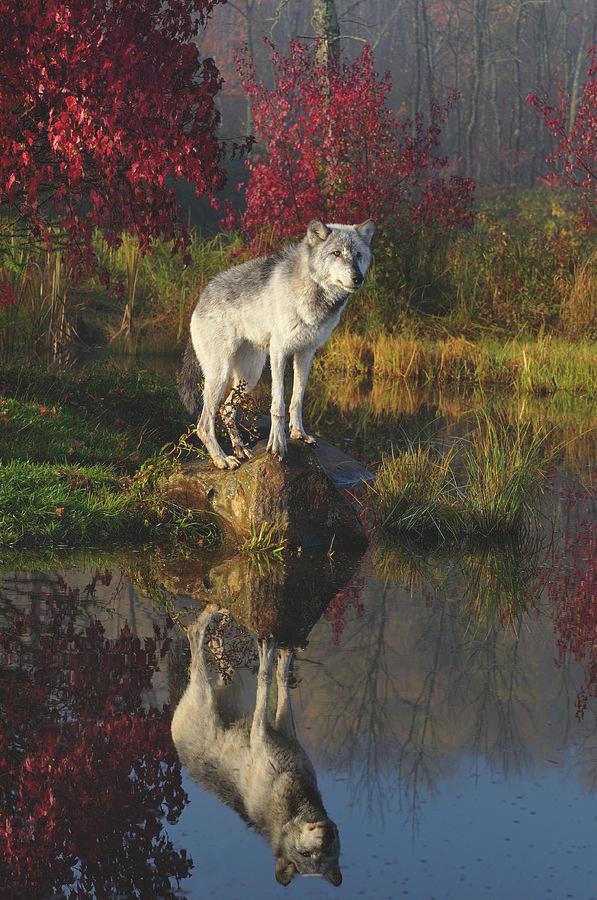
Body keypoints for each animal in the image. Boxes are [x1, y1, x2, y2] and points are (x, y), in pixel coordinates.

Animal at [171, 607, 343, 887]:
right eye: (306, 854)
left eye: (327, 852)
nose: (326, 835)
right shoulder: (263, 731)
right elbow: (267, 677)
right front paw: (274, 655)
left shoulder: (283, 732)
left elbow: (277, 679)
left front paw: (280, 657)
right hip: (206, 690)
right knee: (195, 636)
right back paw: (211, 618)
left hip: (232, 685)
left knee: (217, 653)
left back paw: (218, 632)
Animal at [179, 219, 375, 469]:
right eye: (337, 253)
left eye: (358, 255)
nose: (358, 278)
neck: (313, 290)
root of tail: (201, 298)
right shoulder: (279, 351)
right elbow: (278, 404)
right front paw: (277, 443)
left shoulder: (306, 353)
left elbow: (297, 399)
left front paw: (299, 434)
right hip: (220, 375)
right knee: (204, 424)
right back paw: (222, 459)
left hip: (249, 376)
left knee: (226, 410)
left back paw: (240, 449)